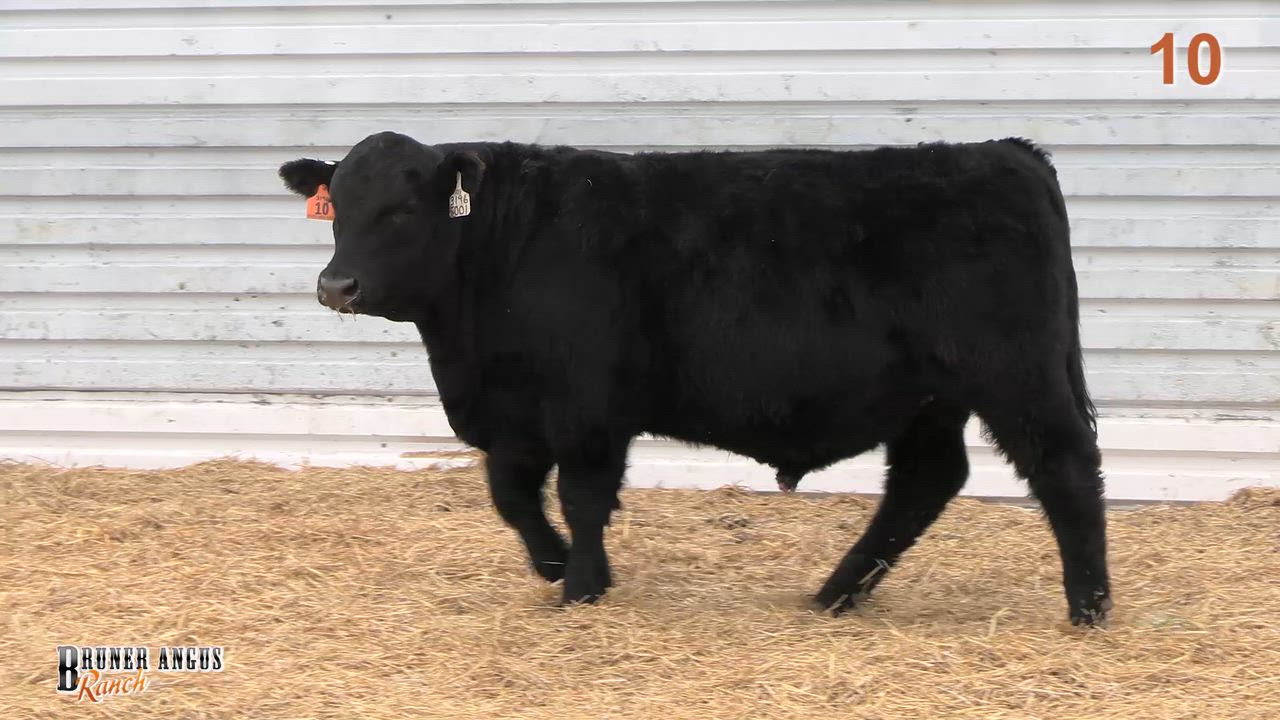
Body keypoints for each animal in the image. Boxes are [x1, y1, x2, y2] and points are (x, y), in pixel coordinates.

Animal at [279, 132, 1112, 626]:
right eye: (336, 206)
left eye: (400, 209)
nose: (336, 284)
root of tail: (1002, 151)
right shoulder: (515, 417)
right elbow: (512, 499)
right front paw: (555, 564)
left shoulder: (587, 411)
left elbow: (582, 500)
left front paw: (583, 587)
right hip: (929, 399)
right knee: (926, 480)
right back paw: (836, 593)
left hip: (1018, 378)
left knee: (1066, 469)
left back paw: (1090, 606)